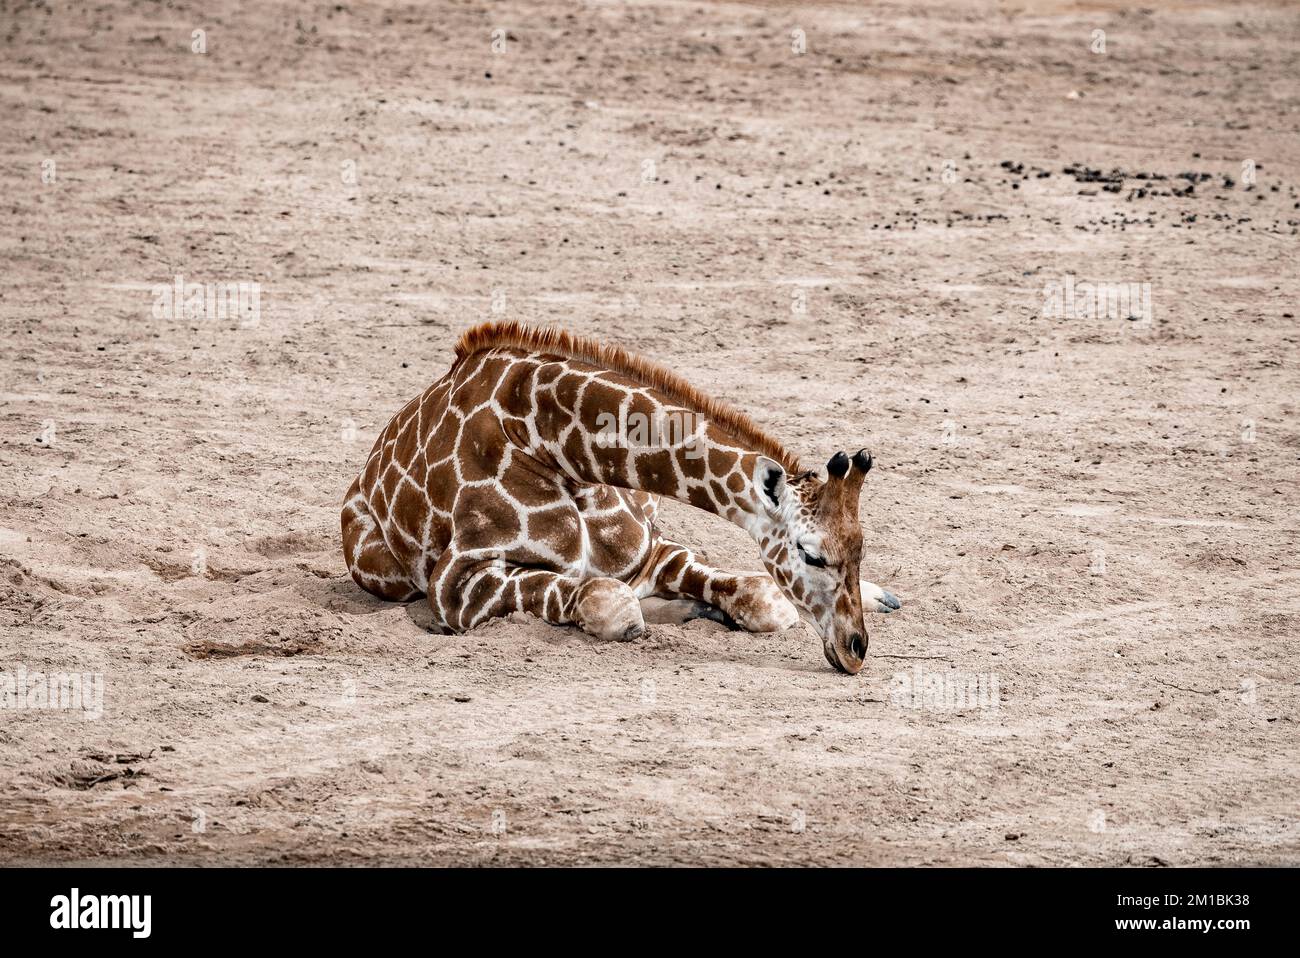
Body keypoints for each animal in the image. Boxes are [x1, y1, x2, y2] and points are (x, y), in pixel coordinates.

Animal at [341, 321, 901, 674]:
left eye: (861, 549)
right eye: (811, 554)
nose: (855, 649)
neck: (554, 447)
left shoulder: (650, 549)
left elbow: (761, 596)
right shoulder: (459, 584)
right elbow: (608, 602)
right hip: (380, 569)